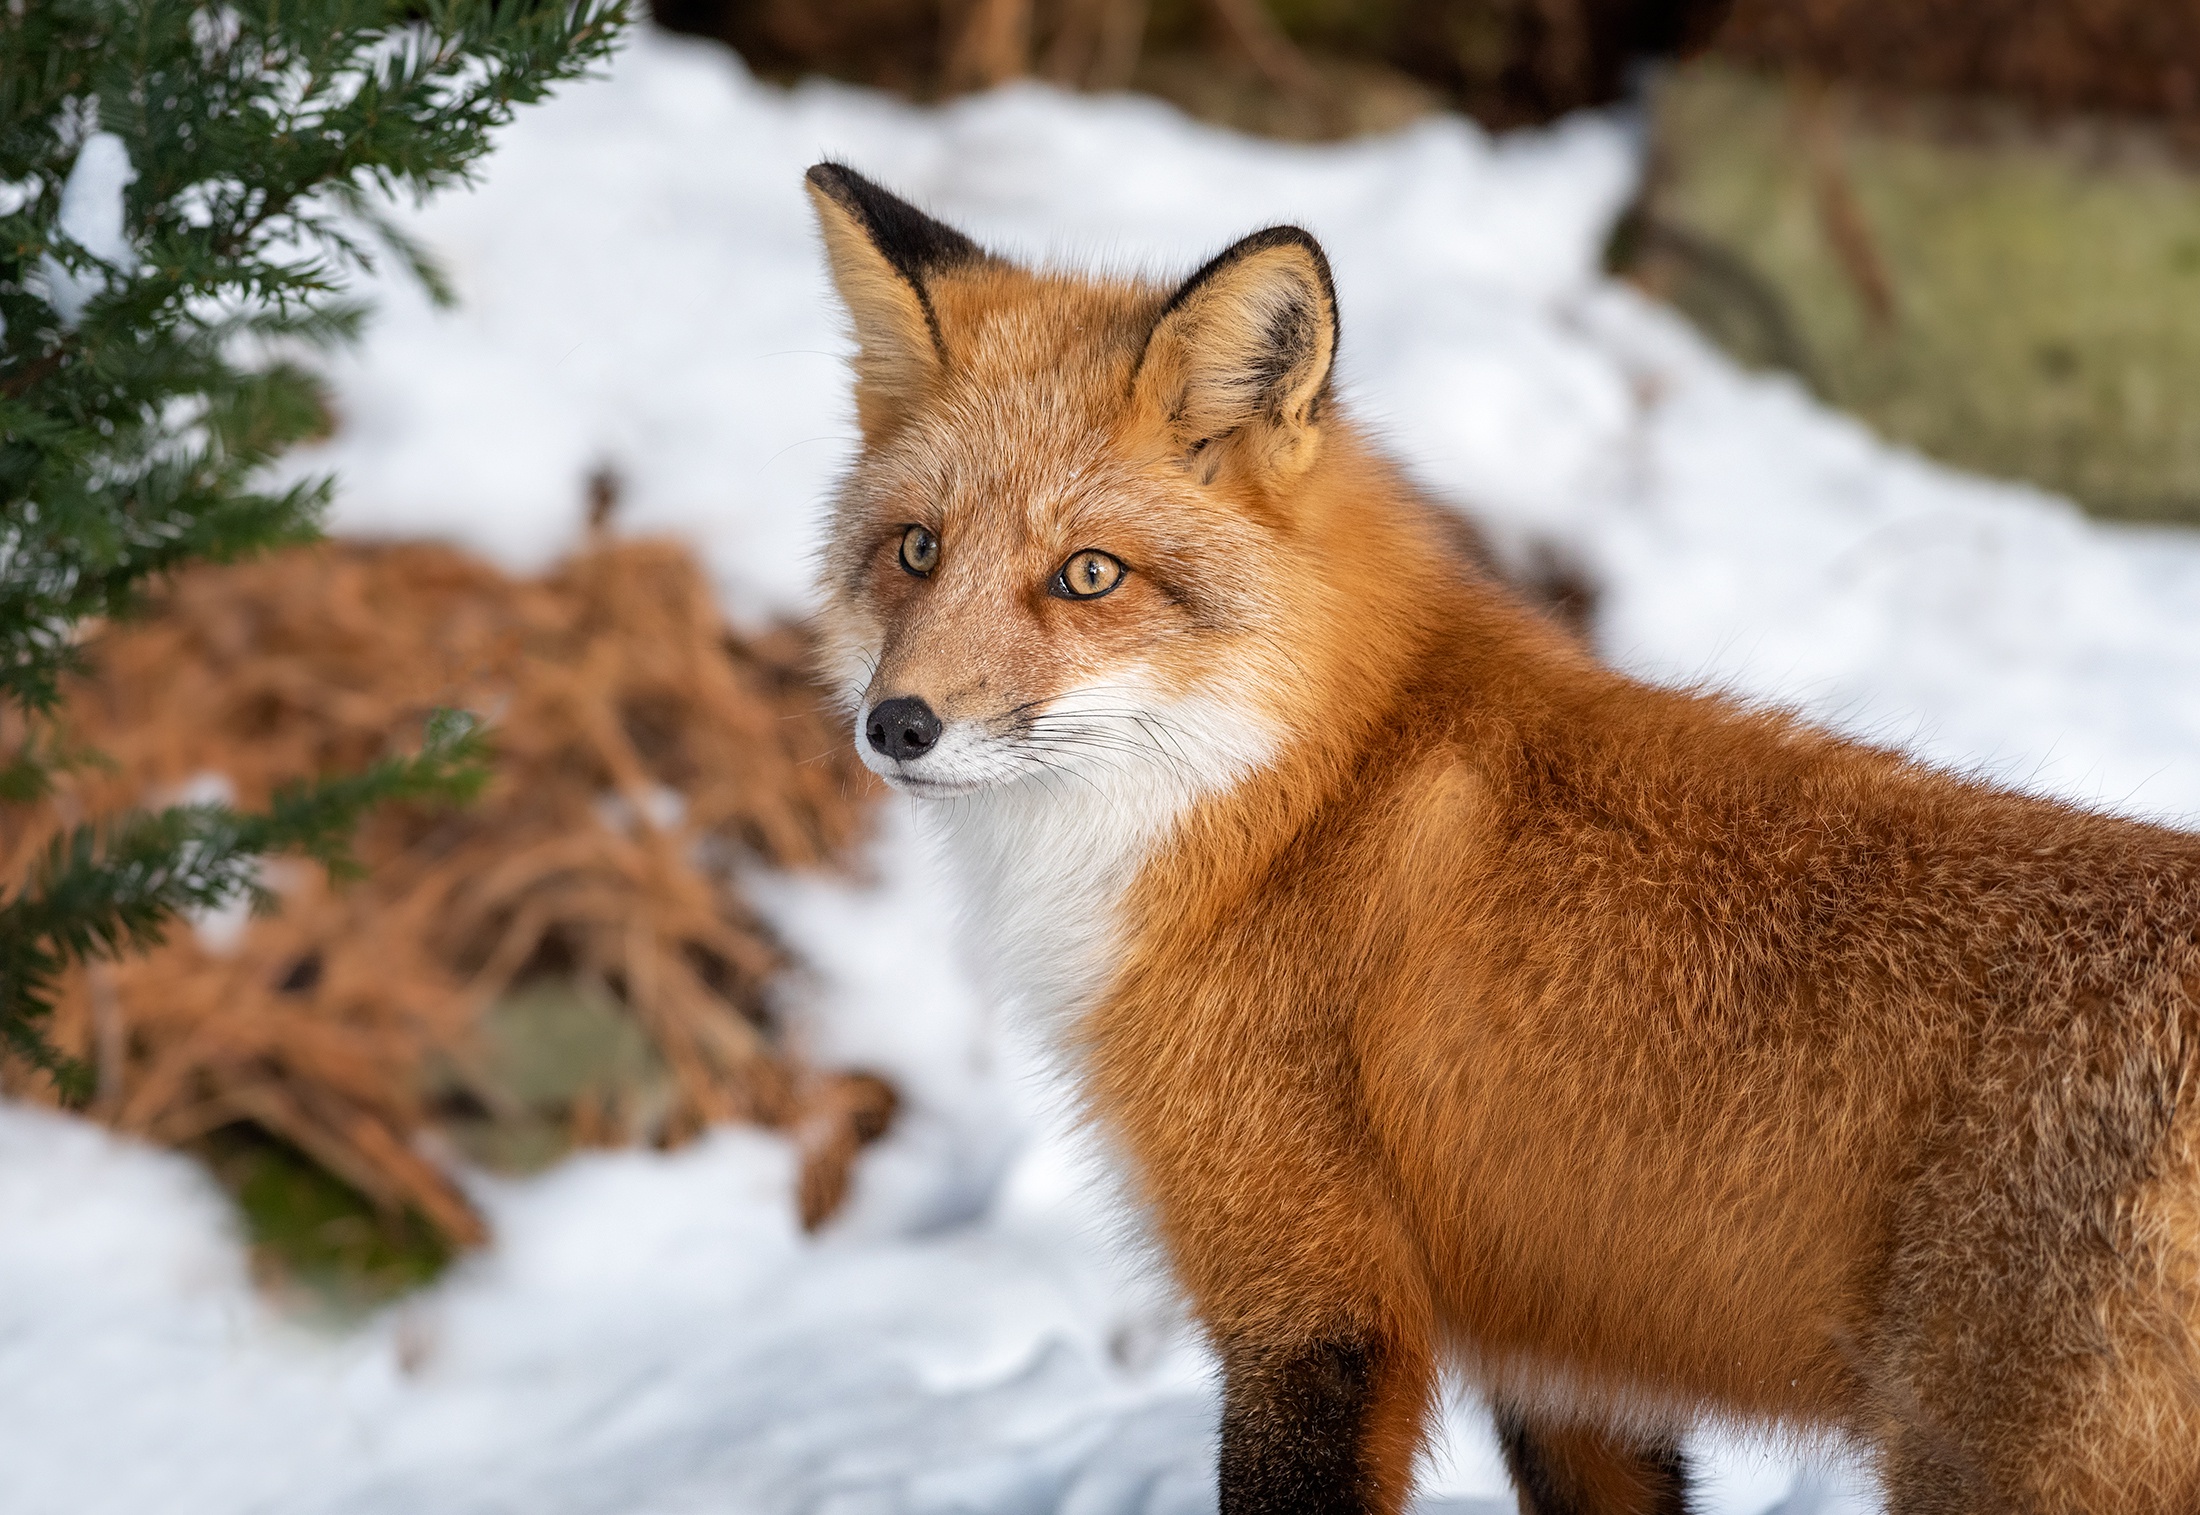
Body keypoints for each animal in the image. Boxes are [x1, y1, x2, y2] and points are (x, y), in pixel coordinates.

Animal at [801, 160, 2200, 1515]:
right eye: (916, 551)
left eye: (1088, 574)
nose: (897, 725)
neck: (1295, 797)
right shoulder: (1566, 1361)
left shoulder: (1311, 1296)